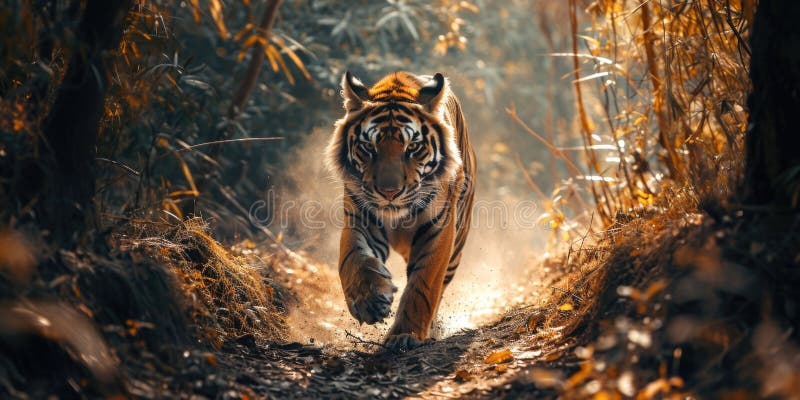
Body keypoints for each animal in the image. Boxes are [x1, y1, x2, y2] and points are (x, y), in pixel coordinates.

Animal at [326, 71, 476, 349]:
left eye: (413, 147)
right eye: (369, 147)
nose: (389, 193)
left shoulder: (438, 230)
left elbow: (423, 285)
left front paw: (405, 335)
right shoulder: (359, 219)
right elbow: (353, 259)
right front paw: (369, 301)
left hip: (458, 243)